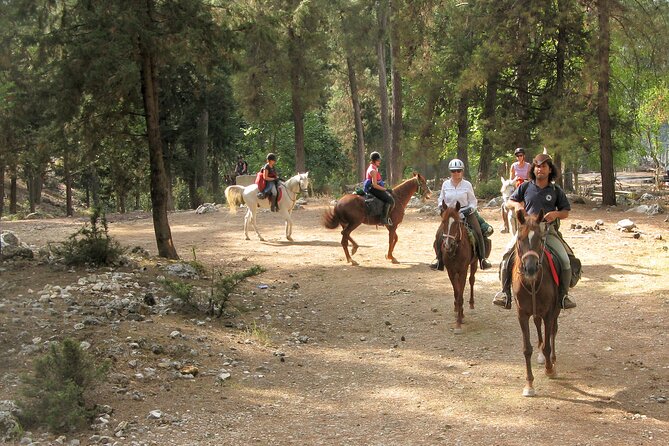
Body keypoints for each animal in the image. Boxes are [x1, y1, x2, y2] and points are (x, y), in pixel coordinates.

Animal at [435, 201, 478, 334]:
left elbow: (460, 295)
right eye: (443, 221)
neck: (455, 251)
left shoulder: (463, 270)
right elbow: (456, 292)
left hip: (474, 264)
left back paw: (471, 305)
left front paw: (459, 323)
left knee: (472, 280)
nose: (448, 245)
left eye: (456, 222)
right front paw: (459, 315)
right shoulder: (451, 271)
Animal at [512, 209, 561, 397]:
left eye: (540, 239)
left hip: (555, 310)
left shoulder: (549, 312)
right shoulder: (522, 314)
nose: (530, 268)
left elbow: (548, 343)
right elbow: (527, 349)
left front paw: (549, 369)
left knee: (553, 331)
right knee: (538, 324)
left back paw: (552, 360)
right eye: (520, 238)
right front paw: (529, 384)